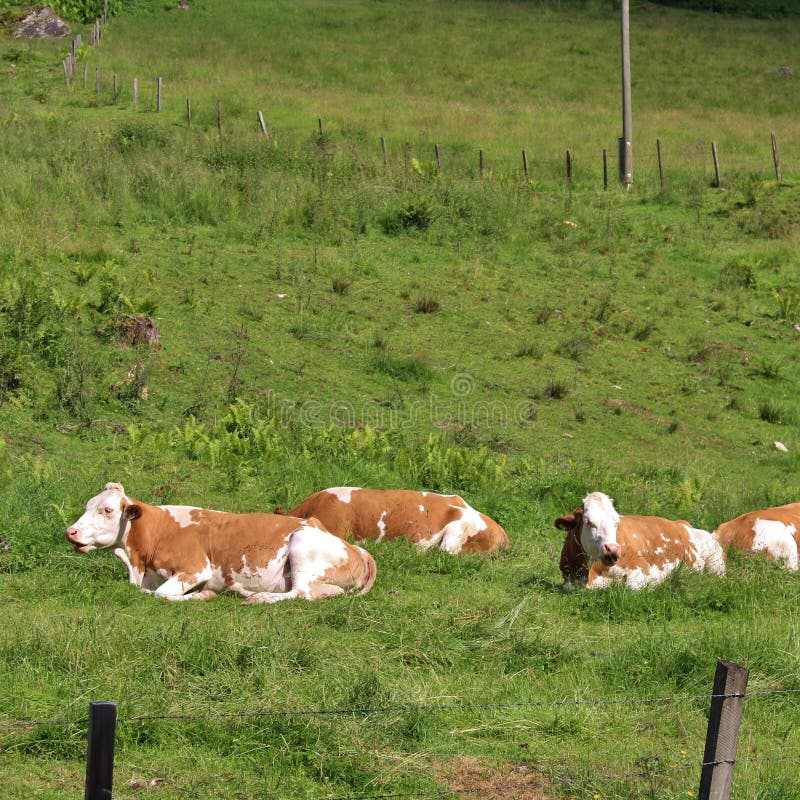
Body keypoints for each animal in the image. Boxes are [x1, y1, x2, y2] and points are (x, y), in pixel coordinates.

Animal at [66, 483, 377, 602]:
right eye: (88, 505)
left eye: (107, 510)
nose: (71, 532)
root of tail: (356, 548)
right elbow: (148, 592)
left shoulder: (195, 568)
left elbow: (161, 594)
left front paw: (202, 595)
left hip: (302, 543)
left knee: (299, 593)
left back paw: (258, 597)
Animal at [554, 492, 726, 589]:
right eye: (589, 521)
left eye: (616, 523)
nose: (613, 549)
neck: (590, 573)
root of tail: (683, 524)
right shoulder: (568, 580)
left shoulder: (641, 568)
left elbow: (632, 588)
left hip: (717, 565)